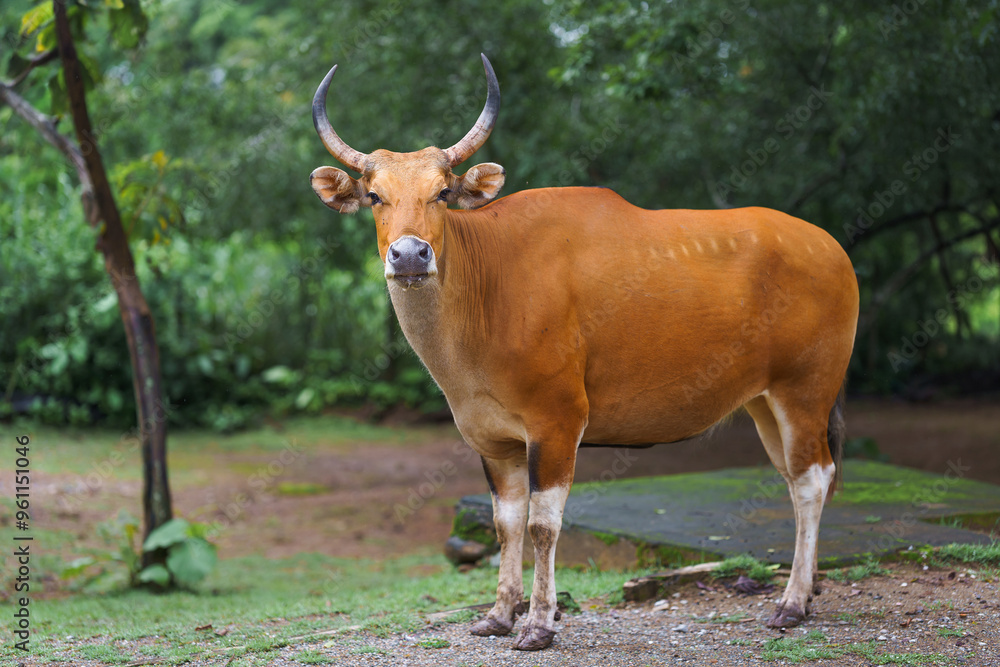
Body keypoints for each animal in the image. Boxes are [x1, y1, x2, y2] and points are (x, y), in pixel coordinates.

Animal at [309, 55, 859, 651]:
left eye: (442, 193)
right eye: (374, 196)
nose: (410, 254)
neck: (490, 287)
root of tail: (832, 248)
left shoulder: (558, 421)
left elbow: (543, 524)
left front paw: (539, 623)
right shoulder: (492, 439)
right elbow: (506, 523)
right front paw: (500, 615)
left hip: (805, 391)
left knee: (811, 481)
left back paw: (791, 603)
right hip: (764, 403)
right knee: (796, 479)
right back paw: (806, 591)